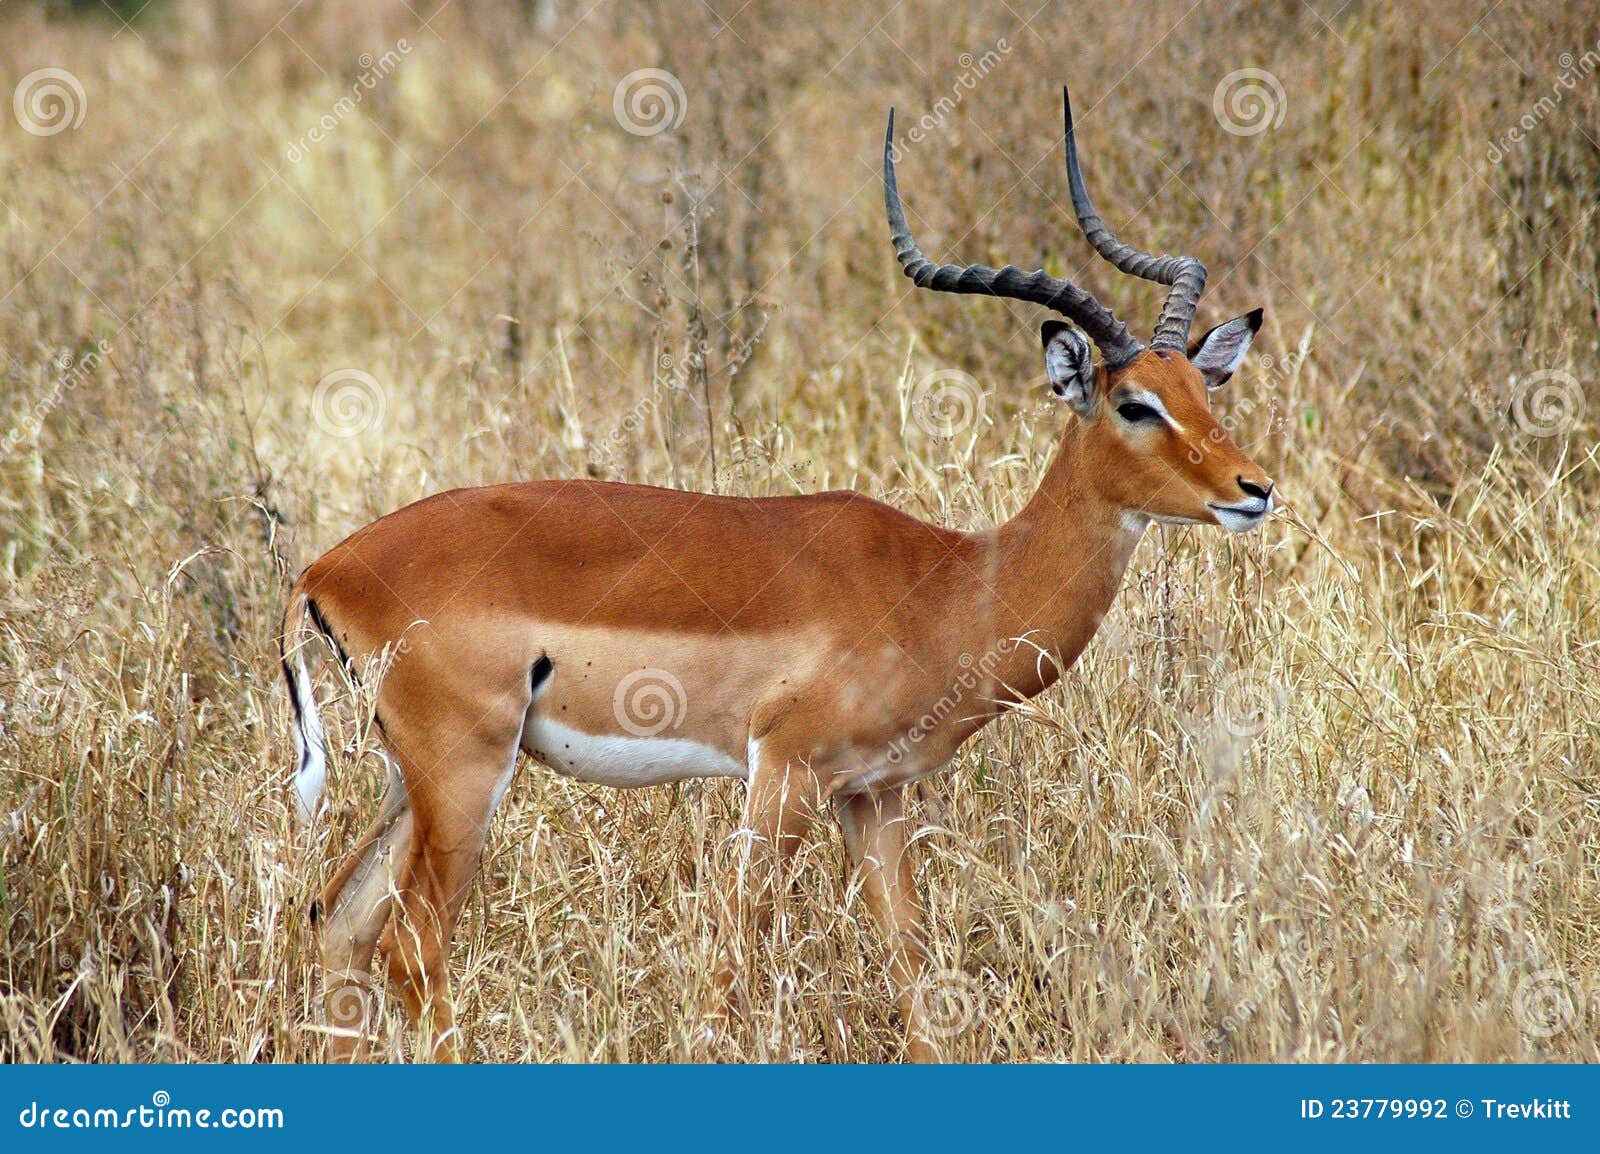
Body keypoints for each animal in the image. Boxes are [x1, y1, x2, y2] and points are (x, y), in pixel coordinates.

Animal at [282, 86, 1276, 1063]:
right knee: (414, 943)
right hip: (465, 772)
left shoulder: (874, 795)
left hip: (413, 779)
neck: (949, 581)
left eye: (1203, 391)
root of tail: (324, 569)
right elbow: (732, 961)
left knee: (338, 921)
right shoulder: (785, 773)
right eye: (1134, 404)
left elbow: (915, 976)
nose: (1255, 489)